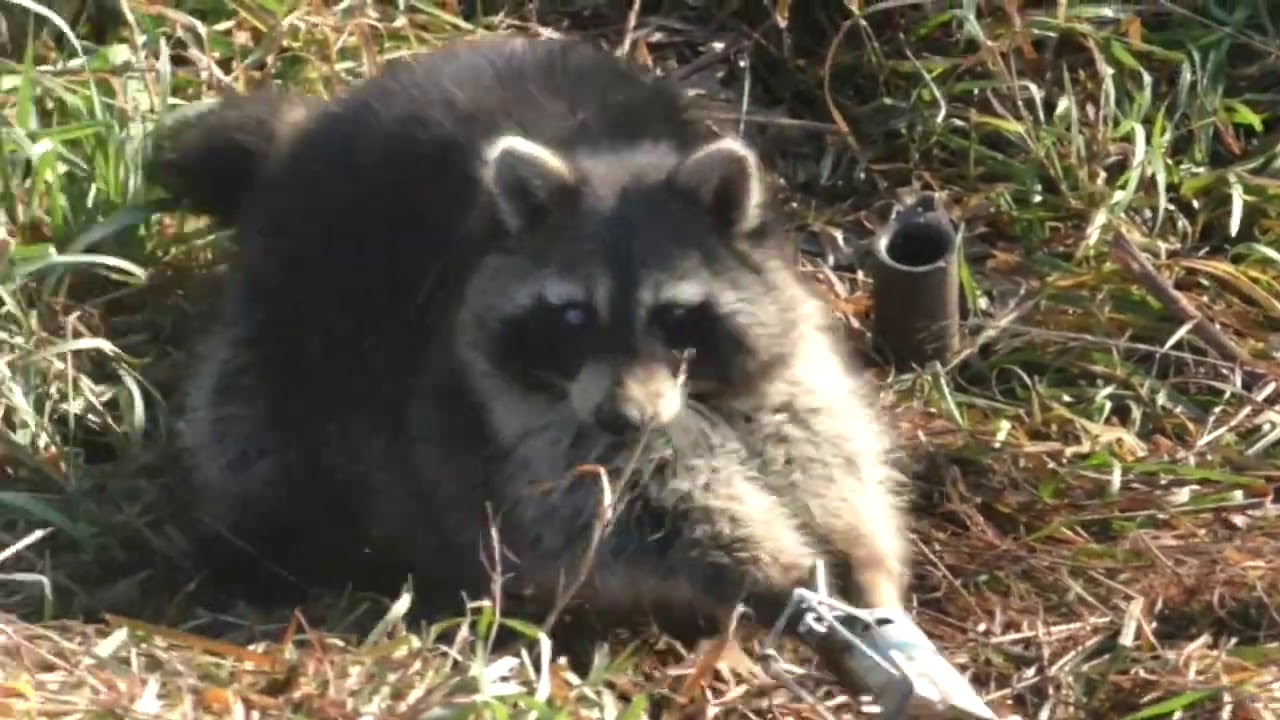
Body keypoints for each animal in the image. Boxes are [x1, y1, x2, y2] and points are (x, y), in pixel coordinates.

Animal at [153, 35, 911, 639]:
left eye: (673, 316)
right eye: (573, 317)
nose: (621, 417)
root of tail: (305, 134)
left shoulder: (782, 345)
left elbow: (822, 436)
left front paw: (859, 545)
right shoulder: (497, 414)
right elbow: (601, 515)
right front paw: (764, 565)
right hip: (282, 325)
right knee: (248, 434)